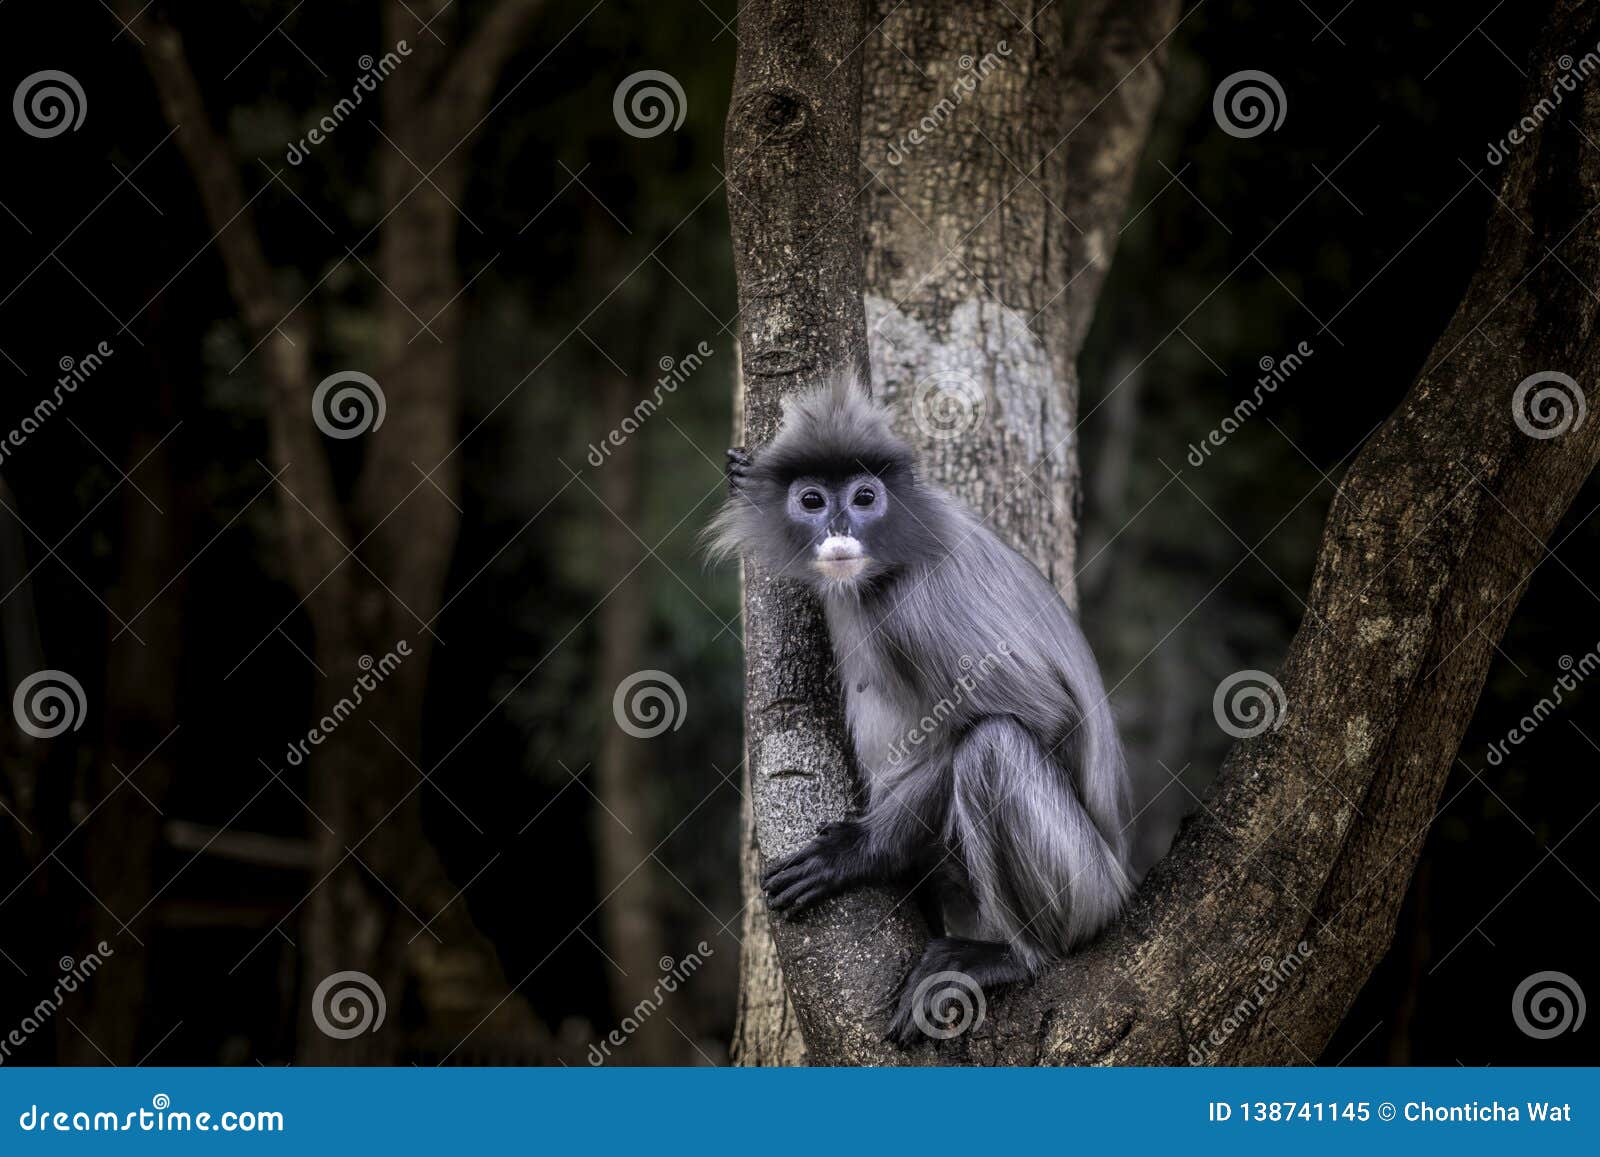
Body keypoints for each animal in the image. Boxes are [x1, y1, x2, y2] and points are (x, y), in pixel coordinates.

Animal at [707, 374, 1135, 1046]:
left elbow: (1047, 715)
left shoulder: (920, 602)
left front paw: (861, 852)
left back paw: (1013, 957)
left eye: (864, 497)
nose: (839, 527)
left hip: (1090, 889)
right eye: (811, 500)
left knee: (992, 745)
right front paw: (740, 474)